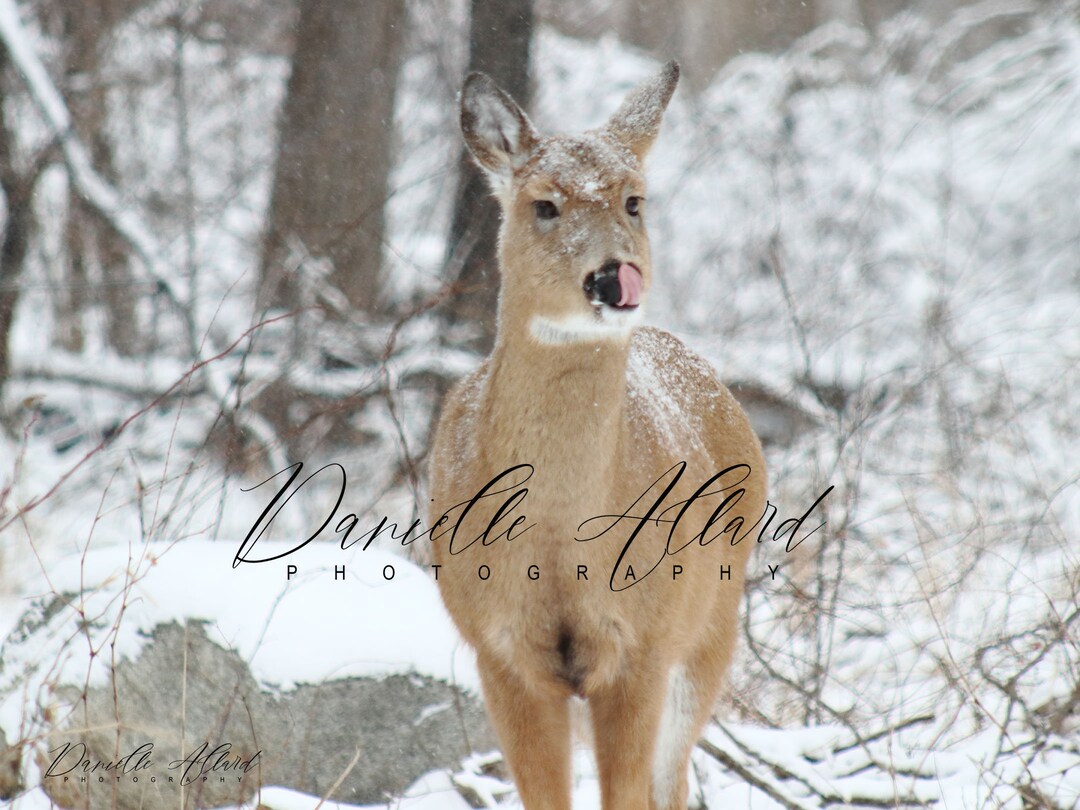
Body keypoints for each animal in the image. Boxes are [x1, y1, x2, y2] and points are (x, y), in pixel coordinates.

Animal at [428, 61, 767, 810]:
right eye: (544, 205)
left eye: (634, 201)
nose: (616, 276)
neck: (558, 542)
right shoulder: (501, 653)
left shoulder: (642, 645)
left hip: (711, 628)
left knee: (672, 782)